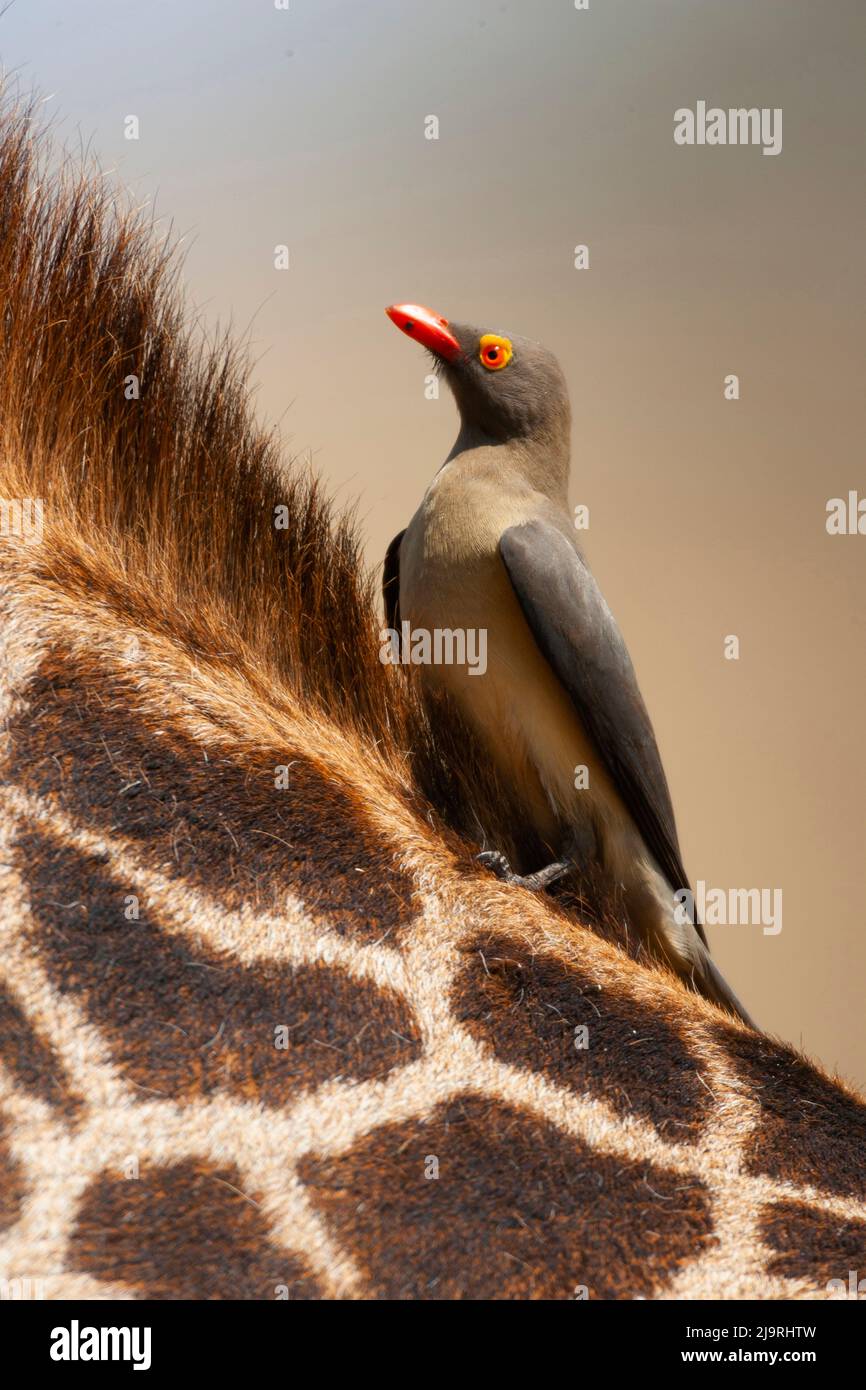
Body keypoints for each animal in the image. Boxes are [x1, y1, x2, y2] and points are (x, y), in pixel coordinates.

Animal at [0, 91, 864, 1302]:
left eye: (488, 347)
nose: (419, 319)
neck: (484, 491)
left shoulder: (568, 734)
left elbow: (562, 841)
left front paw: (514, 872)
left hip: (628, 824)